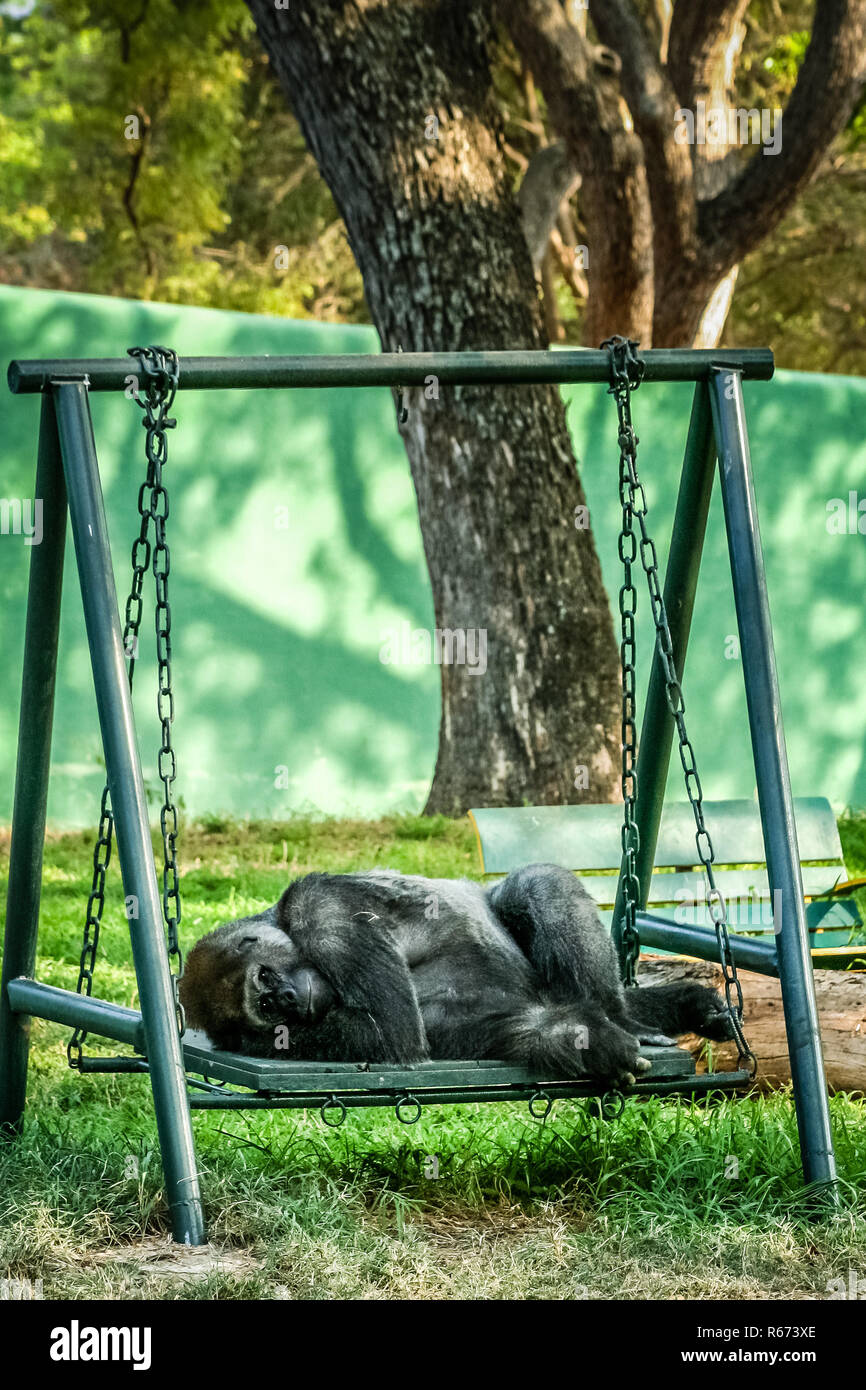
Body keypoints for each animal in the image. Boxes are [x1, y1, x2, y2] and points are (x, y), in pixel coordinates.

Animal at [180, 864, 735, 1087]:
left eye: (265, 981)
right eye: (265, 1010)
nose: (290, 1001)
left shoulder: (321, 908)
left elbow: (388, 1027)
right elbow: (420, 1033)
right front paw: (579, 1041)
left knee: (540, 886)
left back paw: (635, 1016)